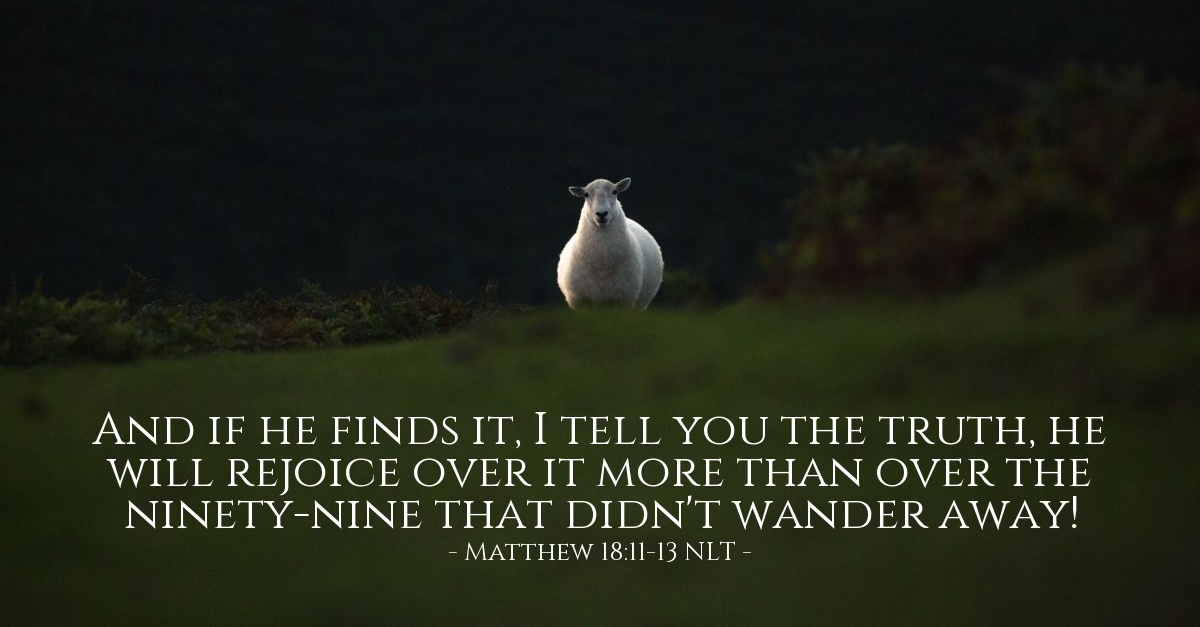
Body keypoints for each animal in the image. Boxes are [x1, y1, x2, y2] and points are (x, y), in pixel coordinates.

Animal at [557, 177, 663, 310]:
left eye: (615, 192)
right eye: (586, 195)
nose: (602, 213)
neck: (602, 262)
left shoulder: (622, 300)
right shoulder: (580, 300)